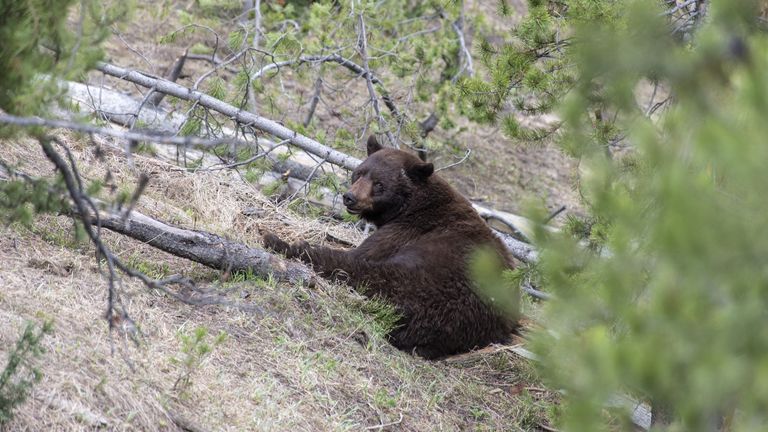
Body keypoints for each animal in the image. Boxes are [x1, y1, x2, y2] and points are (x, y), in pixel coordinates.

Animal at [262, 135, 518, 359]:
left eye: (379, 184)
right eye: (359, 173)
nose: (349, 197)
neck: (412, 206)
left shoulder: (406, 230)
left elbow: (363, 252)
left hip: (425, 272)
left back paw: (281, 242)